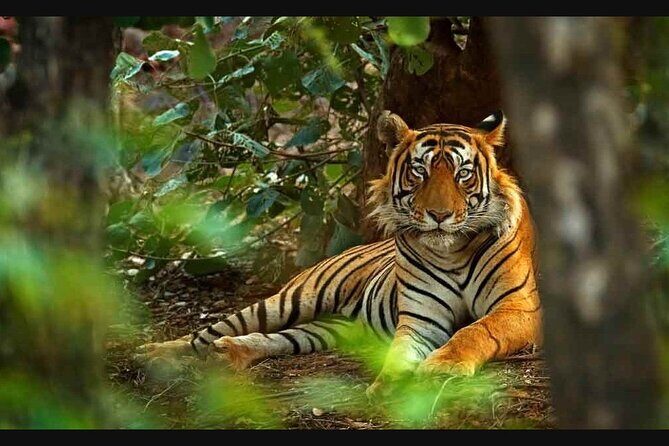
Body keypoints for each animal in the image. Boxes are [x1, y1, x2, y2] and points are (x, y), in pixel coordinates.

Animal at [136, 110, 542, 396]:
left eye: (463, 175)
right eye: (419, 172)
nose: (439, 215)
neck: (452, 252)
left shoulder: (519, 307)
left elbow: (476, 330)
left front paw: (442, 366)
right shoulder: (420, 319)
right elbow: (399, 353)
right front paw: (389, 386)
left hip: (332, 328)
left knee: (279, 338)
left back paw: (228, 354)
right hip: (292, 299)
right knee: (209, 331)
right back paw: (155, 353)